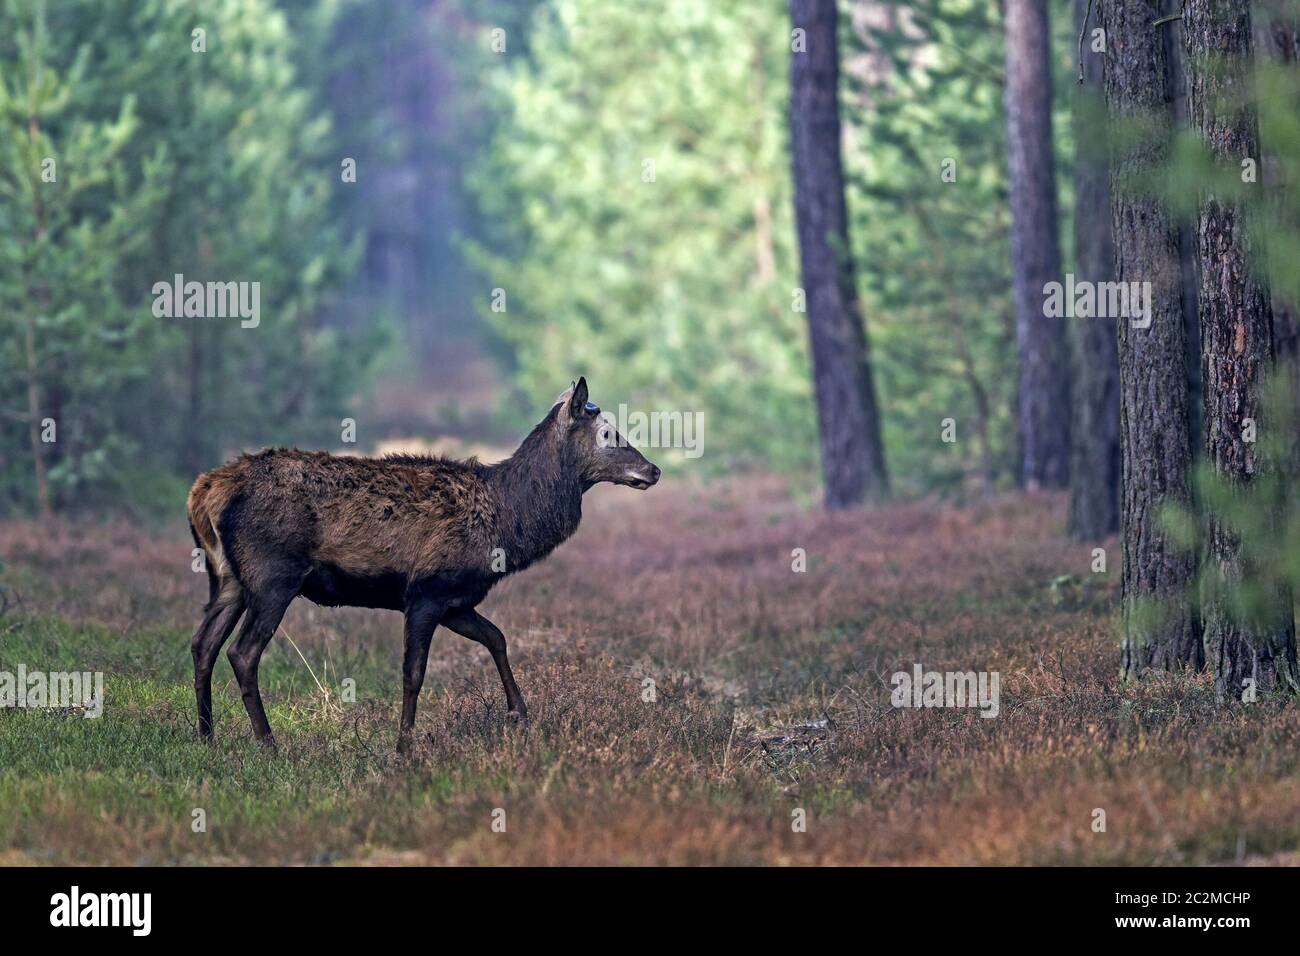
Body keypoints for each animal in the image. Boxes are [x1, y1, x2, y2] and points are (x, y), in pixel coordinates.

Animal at [186, 378, 660, 750]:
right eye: (608, 434)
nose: (653, 470)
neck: (506, 524)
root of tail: (204, 491)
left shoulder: (457, 600)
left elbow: (497, 638)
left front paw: (520, 716)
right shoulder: (427, 591)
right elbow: (413, 673)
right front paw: (403, 746)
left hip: (227, 579)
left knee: (202, 643)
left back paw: (207, 736)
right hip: (273, 577)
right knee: (242, 652)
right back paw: (268, 743)